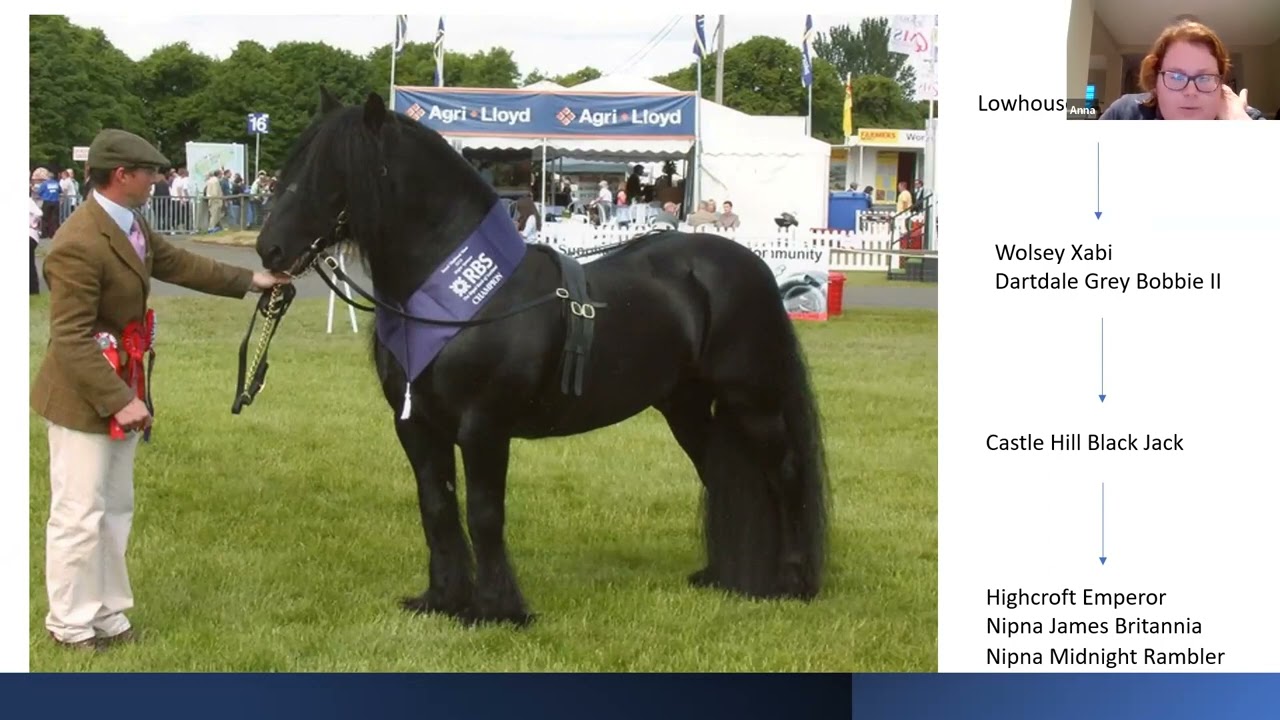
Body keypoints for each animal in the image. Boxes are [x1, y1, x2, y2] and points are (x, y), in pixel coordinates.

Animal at [254, 89, 829, 627]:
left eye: (334, 169)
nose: (270, 250)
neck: (464, 297)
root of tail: (749, 266)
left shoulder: (483, 426)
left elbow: (484, 512)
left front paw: (497, 609)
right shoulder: (415, 424)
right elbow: (436, 507)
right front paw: (443, 599)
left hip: (753, 400)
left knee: (784, 473)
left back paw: (793, 582)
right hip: (684, 406)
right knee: (718, 474)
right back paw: (721, 575)